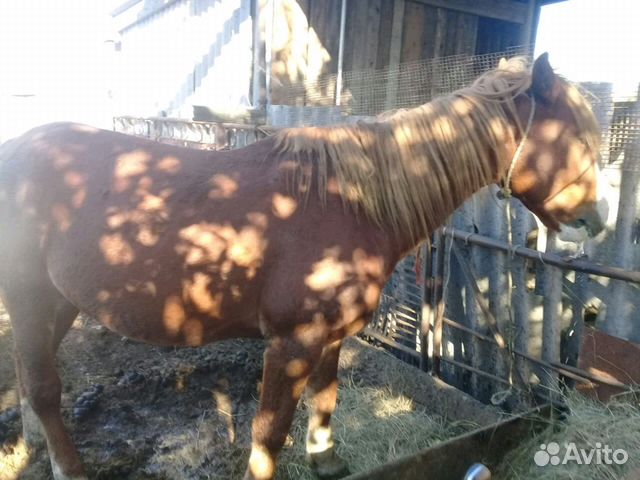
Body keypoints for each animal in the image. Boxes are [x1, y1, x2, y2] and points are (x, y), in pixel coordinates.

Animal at [0, 53, 609, 480]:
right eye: (572, 138)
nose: (596, 221)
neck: (351, 201)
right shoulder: (291, 343)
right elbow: (269, 434)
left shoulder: (331, 337)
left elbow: (325, 400)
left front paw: (326, 459)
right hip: (29, 297)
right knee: (45, 388)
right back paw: (68, 467)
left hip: (60, 301)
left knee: (32, 383)